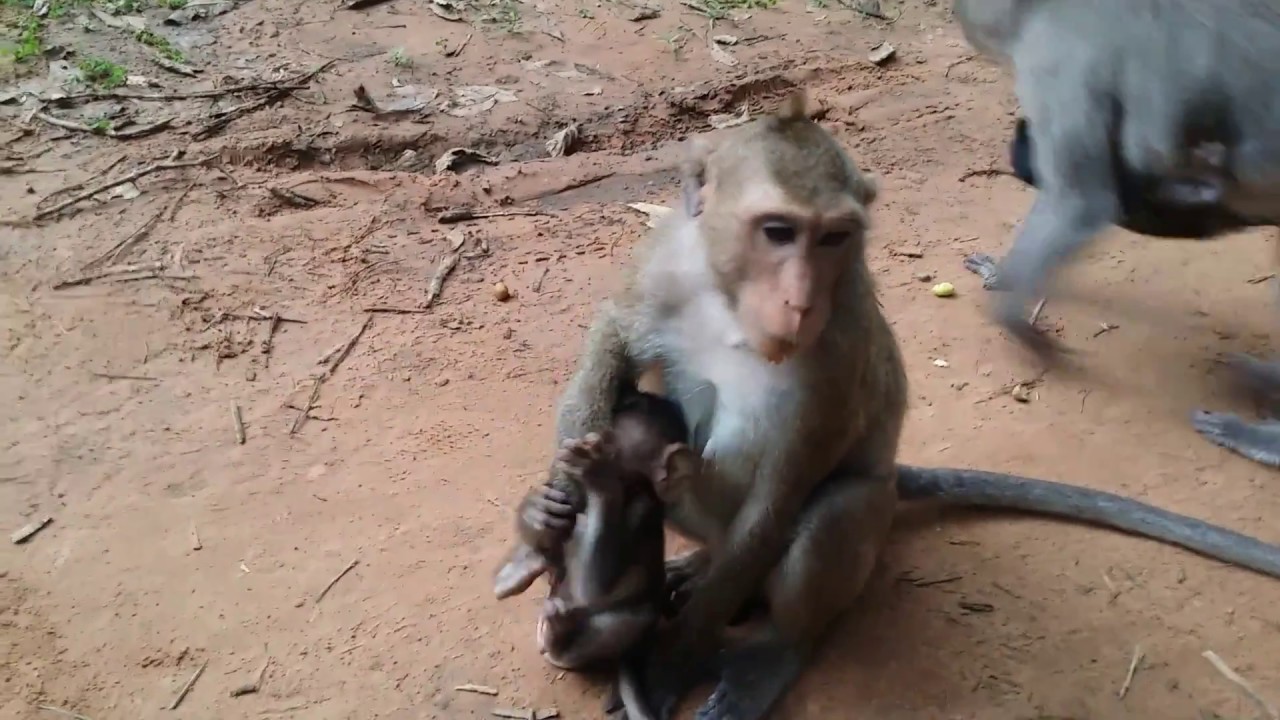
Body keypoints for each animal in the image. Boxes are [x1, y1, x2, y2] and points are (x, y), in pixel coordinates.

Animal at [493, 387, 699, 720]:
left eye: (608, 449)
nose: (576, 449)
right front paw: (535, 511)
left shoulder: (642, 507)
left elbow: (595, 587)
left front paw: (597, 476)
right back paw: (513, 578)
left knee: (633, 615)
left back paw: (558, 637)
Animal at [541, 91, 1280, 720]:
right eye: (778, 231)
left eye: (834, 237)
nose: (800, 302)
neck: (731, 307)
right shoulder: (668, 258)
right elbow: (616, 332)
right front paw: (564, 496)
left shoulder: (835, 352)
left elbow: (780, 497)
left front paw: (672, 663)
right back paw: (692, 560)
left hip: (866, 514)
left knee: (826, 514)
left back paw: (775, 645)